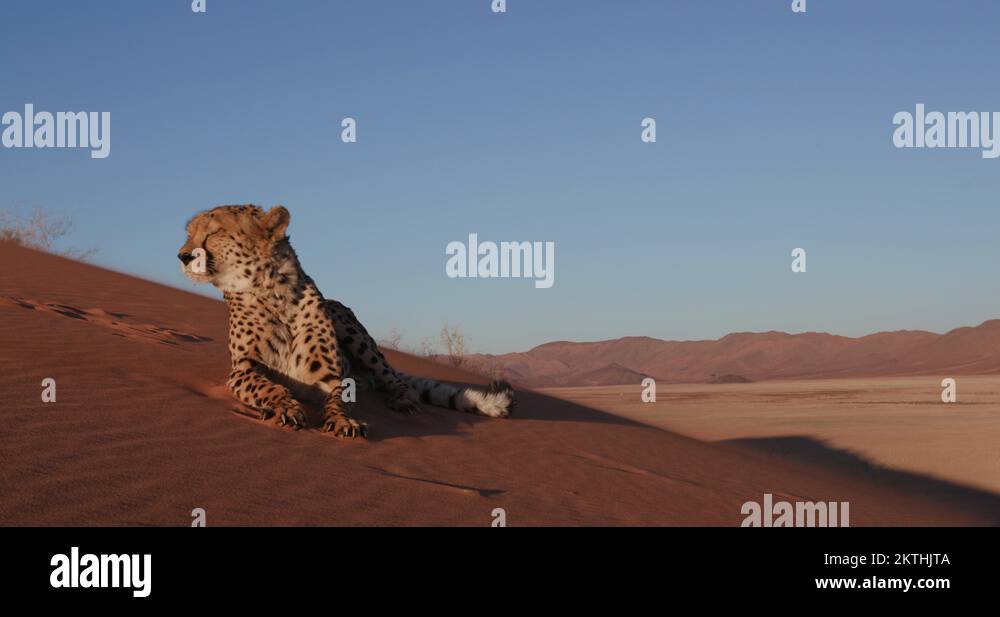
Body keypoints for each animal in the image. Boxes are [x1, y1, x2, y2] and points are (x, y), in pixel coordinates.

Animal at [178, 204, 514, 439]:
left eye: (213, 232)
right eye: (189, 233)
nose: (182, 255)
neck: (271, 291)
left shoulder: (332, 378)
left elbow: (338, 399)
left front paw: (343, 420)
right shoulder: (242, 369)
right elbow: (267, 386)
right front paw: (284, 407)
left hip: (352, 330)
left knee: (395, 379)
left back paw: (403, 399)